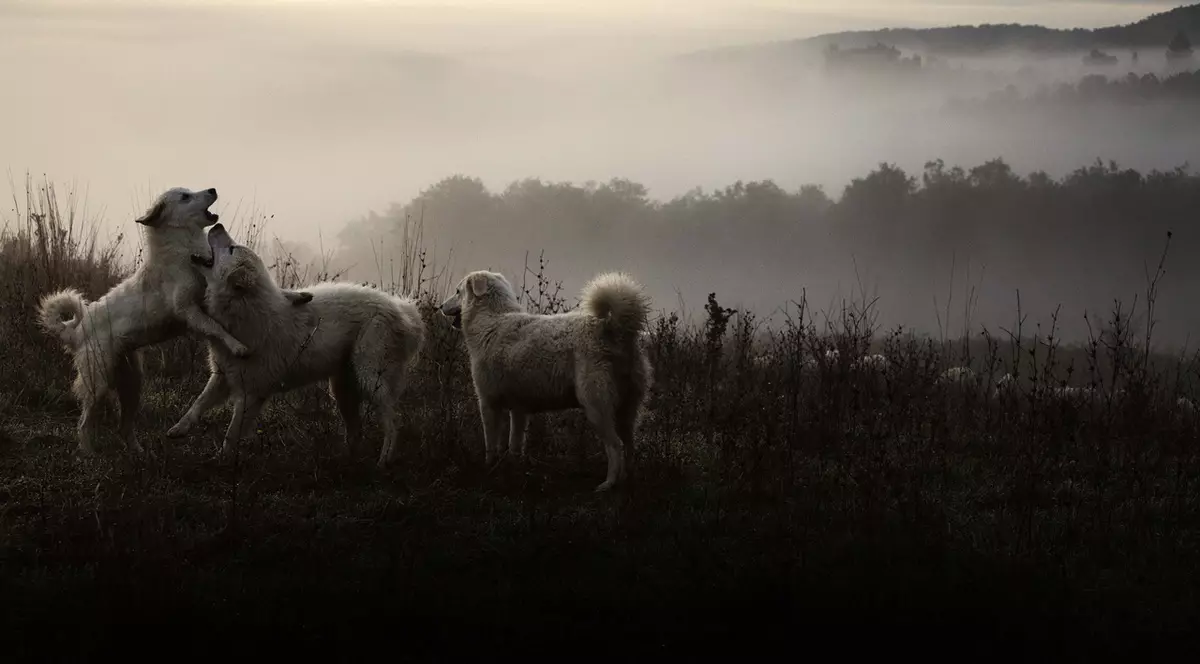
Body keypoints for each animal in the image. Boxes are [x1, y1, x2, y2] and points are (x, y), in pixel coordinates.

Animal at [36, 186, 248, 456]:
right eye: (185, 197)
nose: (213, 189)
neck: (182, 248)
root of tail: (77, 332)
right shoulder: (188, 311)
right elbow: (215, 327)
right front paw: (237, 345)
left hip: (132, 384)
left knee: (124, 426)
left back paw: (138, 452)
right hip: (97, 382)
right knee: (84, 422)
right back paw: (88, 453)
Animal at [166, 224, 429, 465]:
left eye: (231, 249)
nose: (217, 225)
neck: (244, 310)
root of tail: (402, 309)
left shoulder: (251, 394)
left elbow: (231, 434)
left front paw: (222, 461)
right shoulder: (221, 377)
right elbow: (197, 404)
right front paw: (178, 429)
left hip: (371, 378)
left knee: (393, 422)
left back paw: (383, 461)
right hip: (343, 390)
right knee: (356, 432)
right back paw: (347, 461)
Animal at [441, 268, 652, 492]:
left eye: (457, 292)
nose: (440, 306)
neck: (491, 317)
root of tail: (611, 327)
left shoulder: (488, 403)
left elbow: (490, 444)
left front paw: (489, 469)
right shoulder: (519, 409)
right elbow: (515, 444)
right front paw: (512, 469)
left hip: (597, 408)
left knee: (615, 445)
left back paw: (608, 484)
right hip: (627, 409)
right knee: (629, 445)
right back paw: (628, 481)